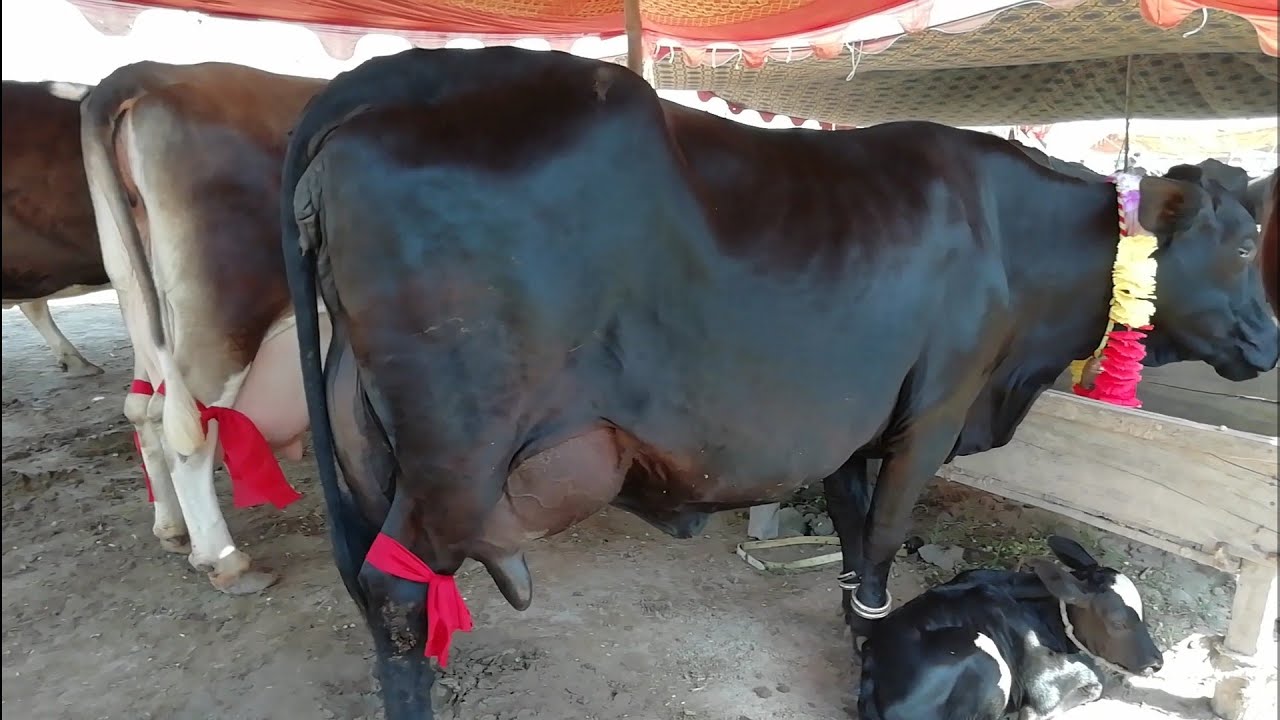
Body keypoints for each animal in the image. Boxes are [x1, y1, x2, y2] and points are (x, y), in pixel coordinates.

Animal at [80, 62, 329, 595]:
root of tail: (148, 72)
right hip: (223, 318)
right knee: (186, 425)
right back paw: (225, 559)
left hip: (139, 300)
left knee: (144, 409)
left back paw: (173, 529)